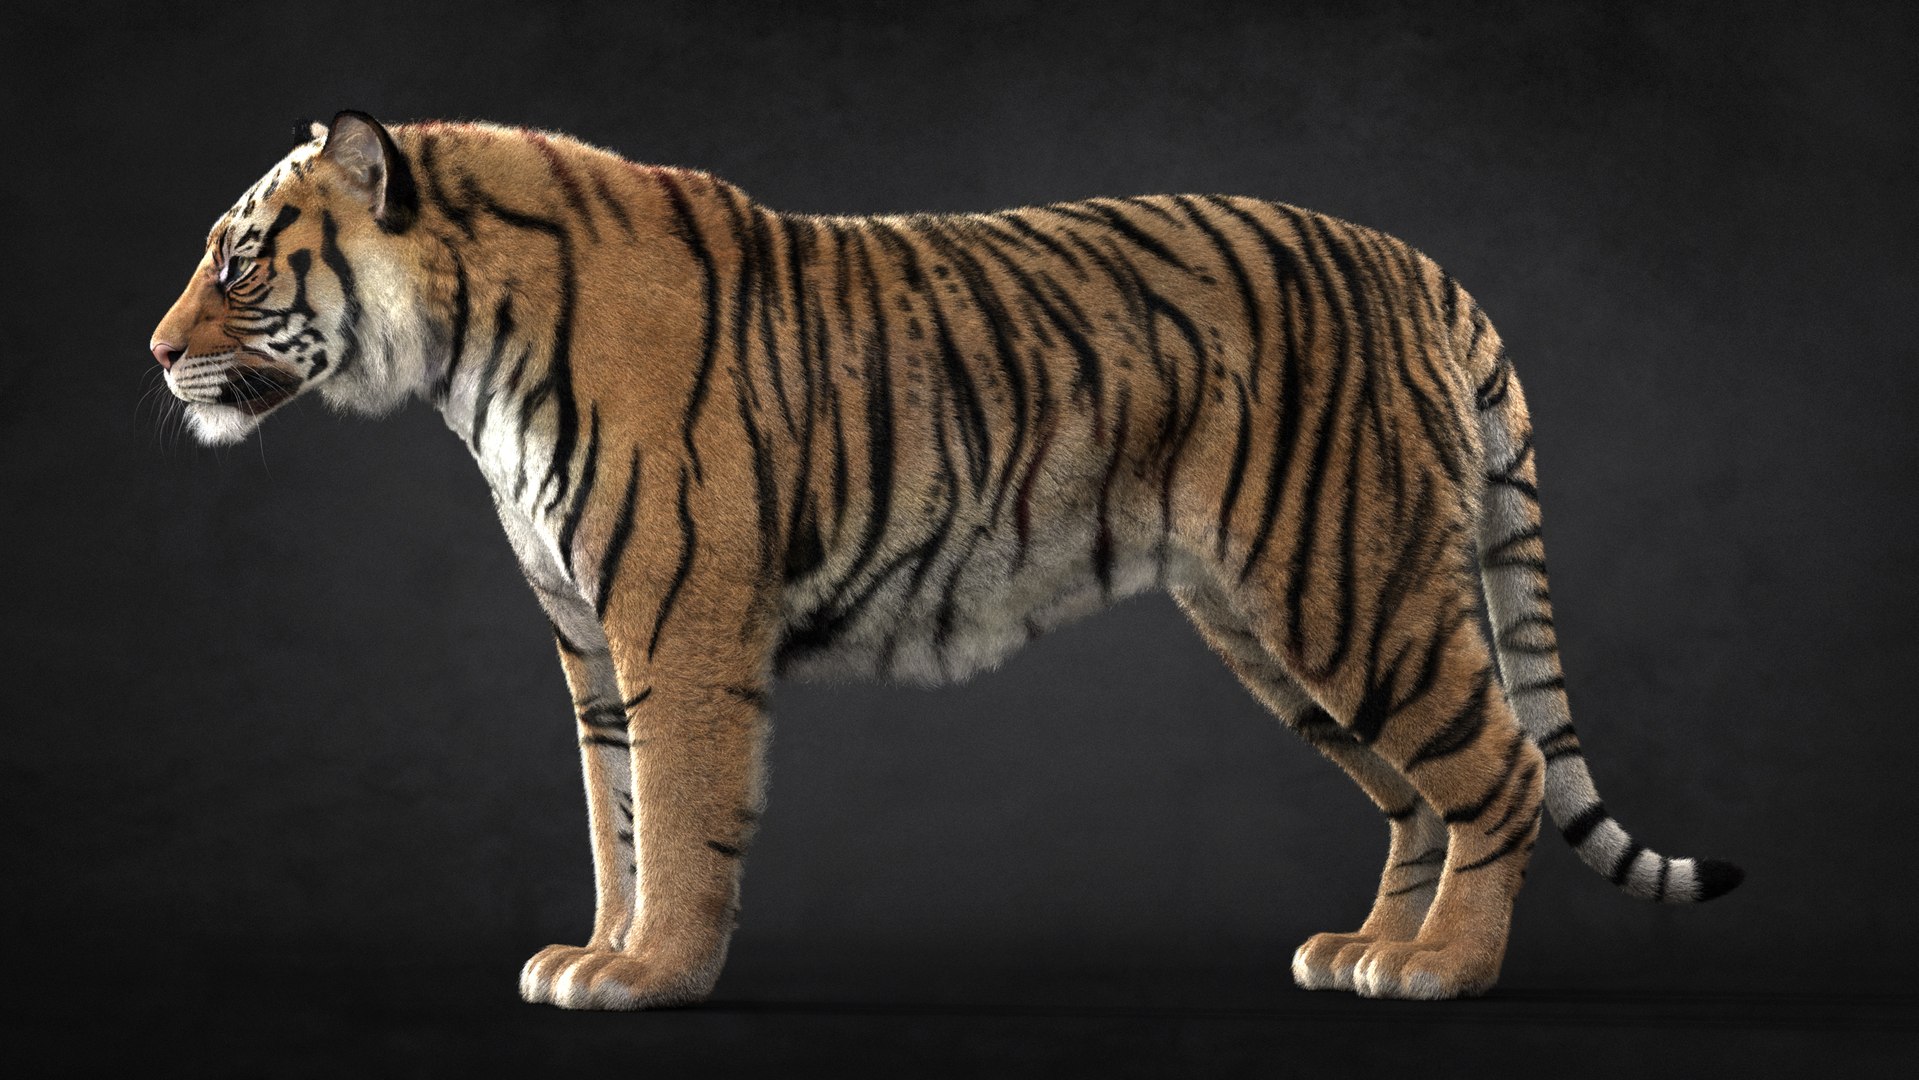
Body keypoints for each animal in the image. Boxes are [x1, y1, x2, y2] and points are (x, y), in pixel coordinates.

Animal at [150, 111, 1740, 1007]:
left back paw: (1437, 975)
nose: (156, 356)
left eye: (241, 259)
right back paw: (1359, 954)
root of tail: (1424, 270)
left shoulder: (678, 617)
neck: (461, 356)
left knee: (1505, 770)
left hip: (1349, 582)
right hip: (1271, 619)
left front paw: (652, 975)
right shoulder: (586, 640)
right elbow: (613, 817)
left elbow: (679, 812)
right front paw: (595, 954)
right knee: (1419, 793)